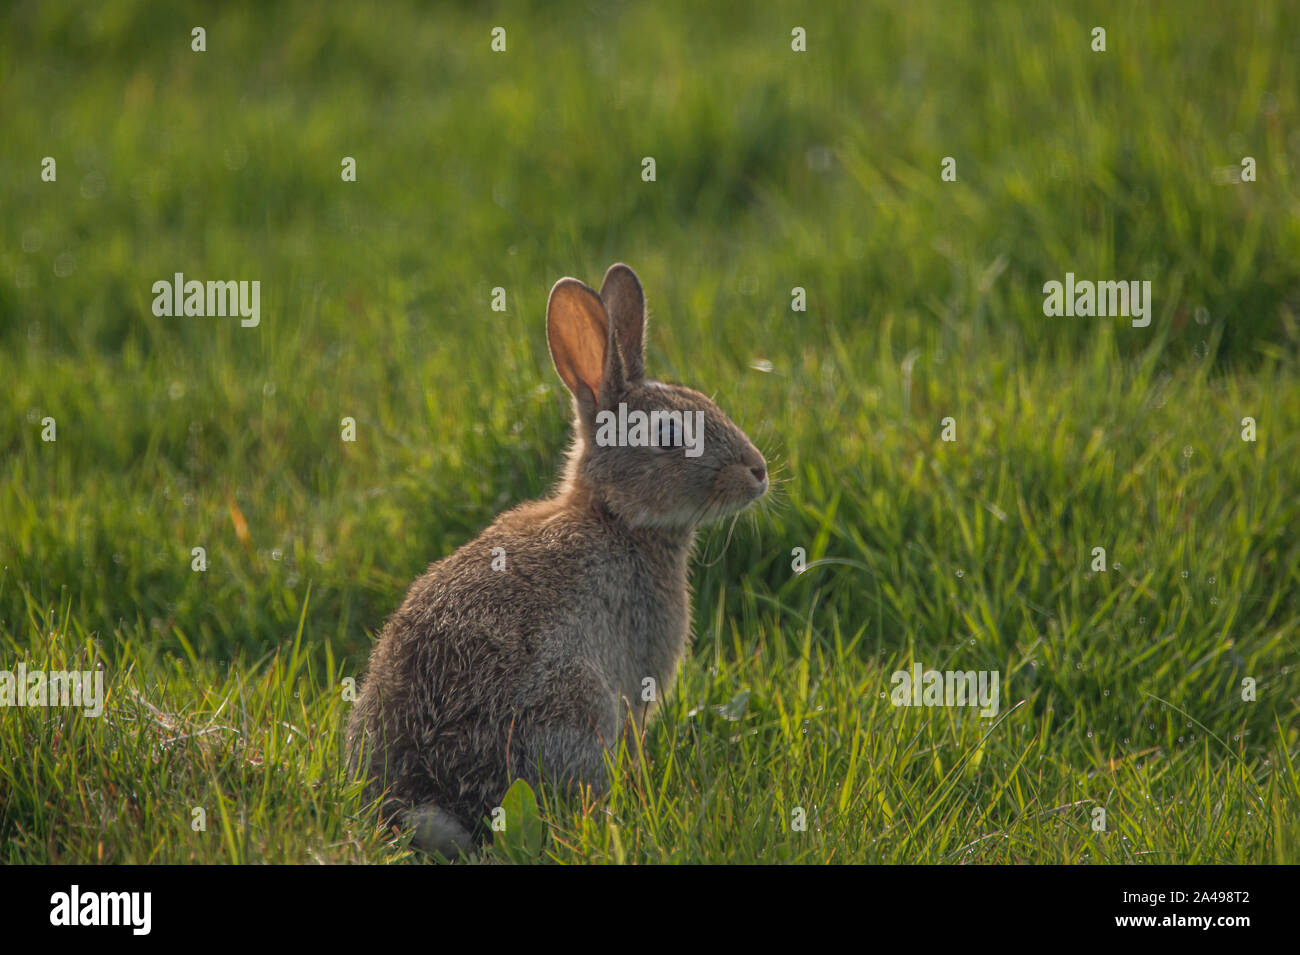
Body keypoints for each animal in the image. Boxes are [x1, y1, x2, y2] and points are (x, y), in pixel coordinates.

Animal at [346, 263, 768, 856]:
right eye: (669, 436)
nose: (759, 471)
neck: (615, 518)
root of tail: (432, 796)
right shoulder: (637, 686)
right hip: (577, 705)